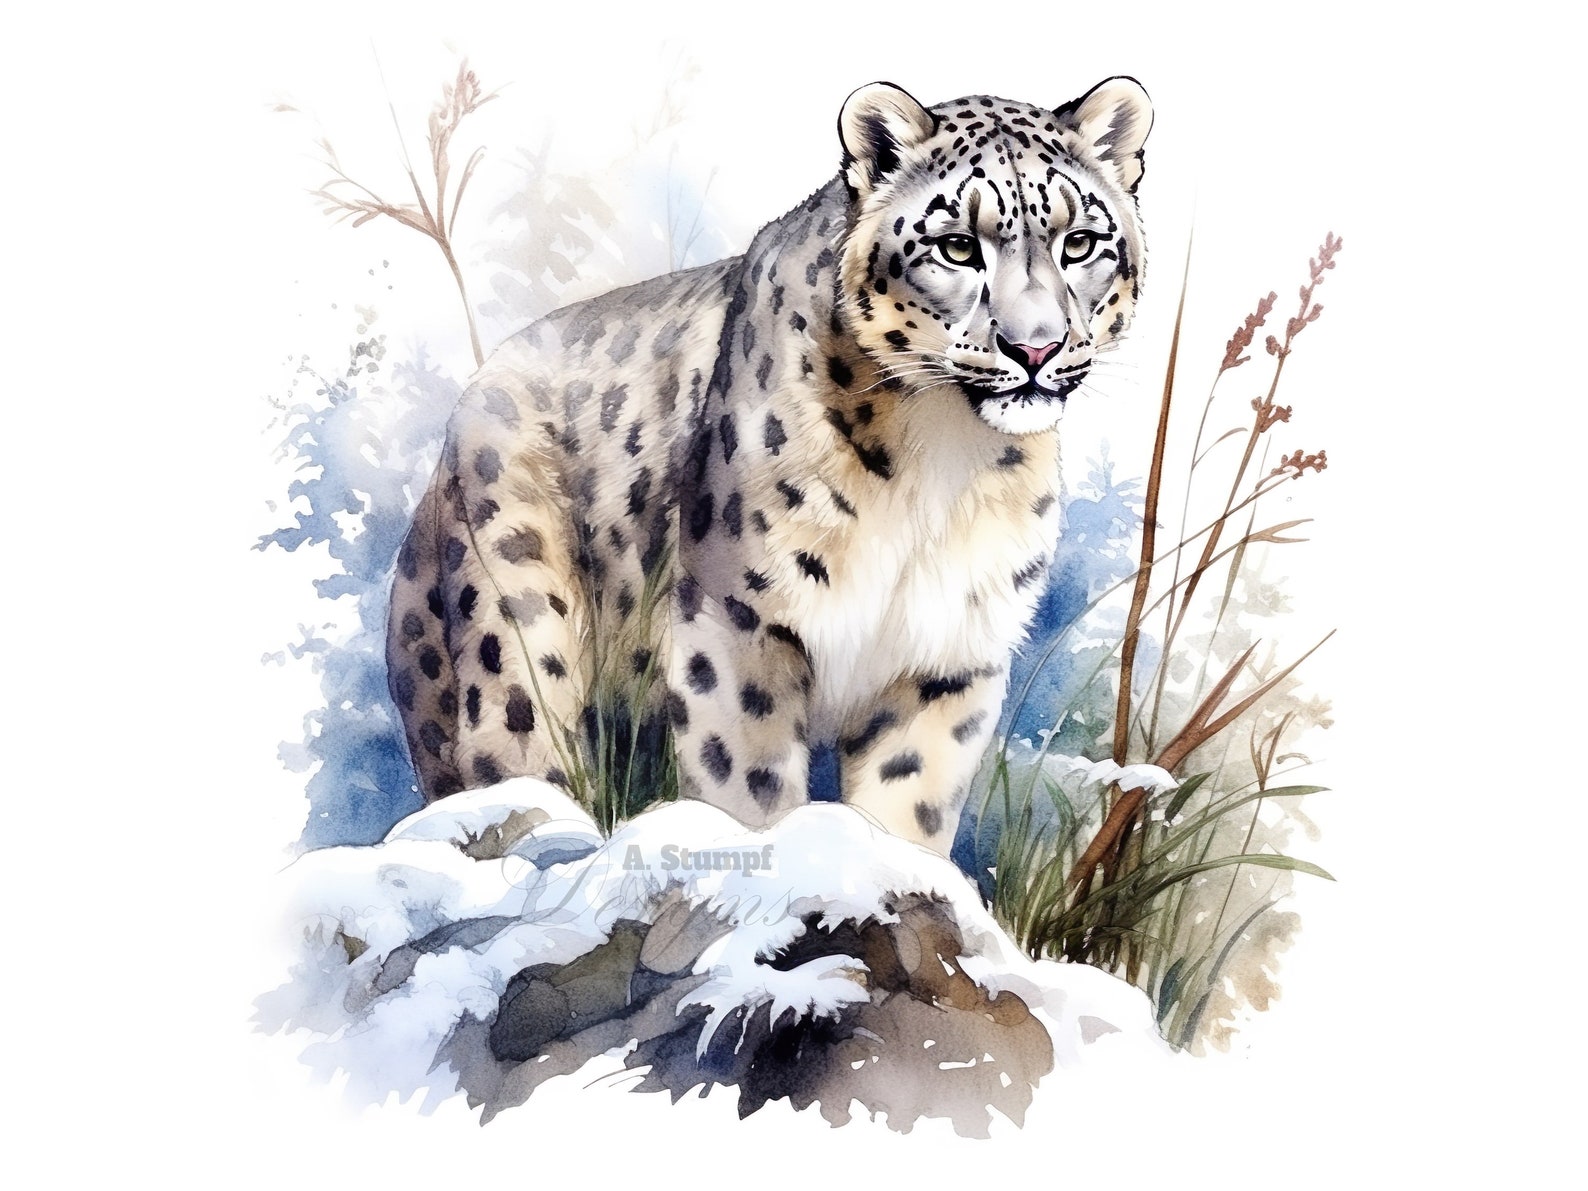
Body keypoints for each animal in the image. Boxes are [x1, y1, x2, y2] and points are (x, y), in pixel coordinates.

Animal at [386, 77, 1152, 855]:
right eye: (959, 246)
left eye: (1080, 242)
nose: (1036, 348)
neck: (942, 458)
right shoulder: (739, 619)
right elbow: (746, 782)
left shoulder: (948, 656)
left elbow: (910, 800)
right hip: (519, 627)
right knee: (519, 758)